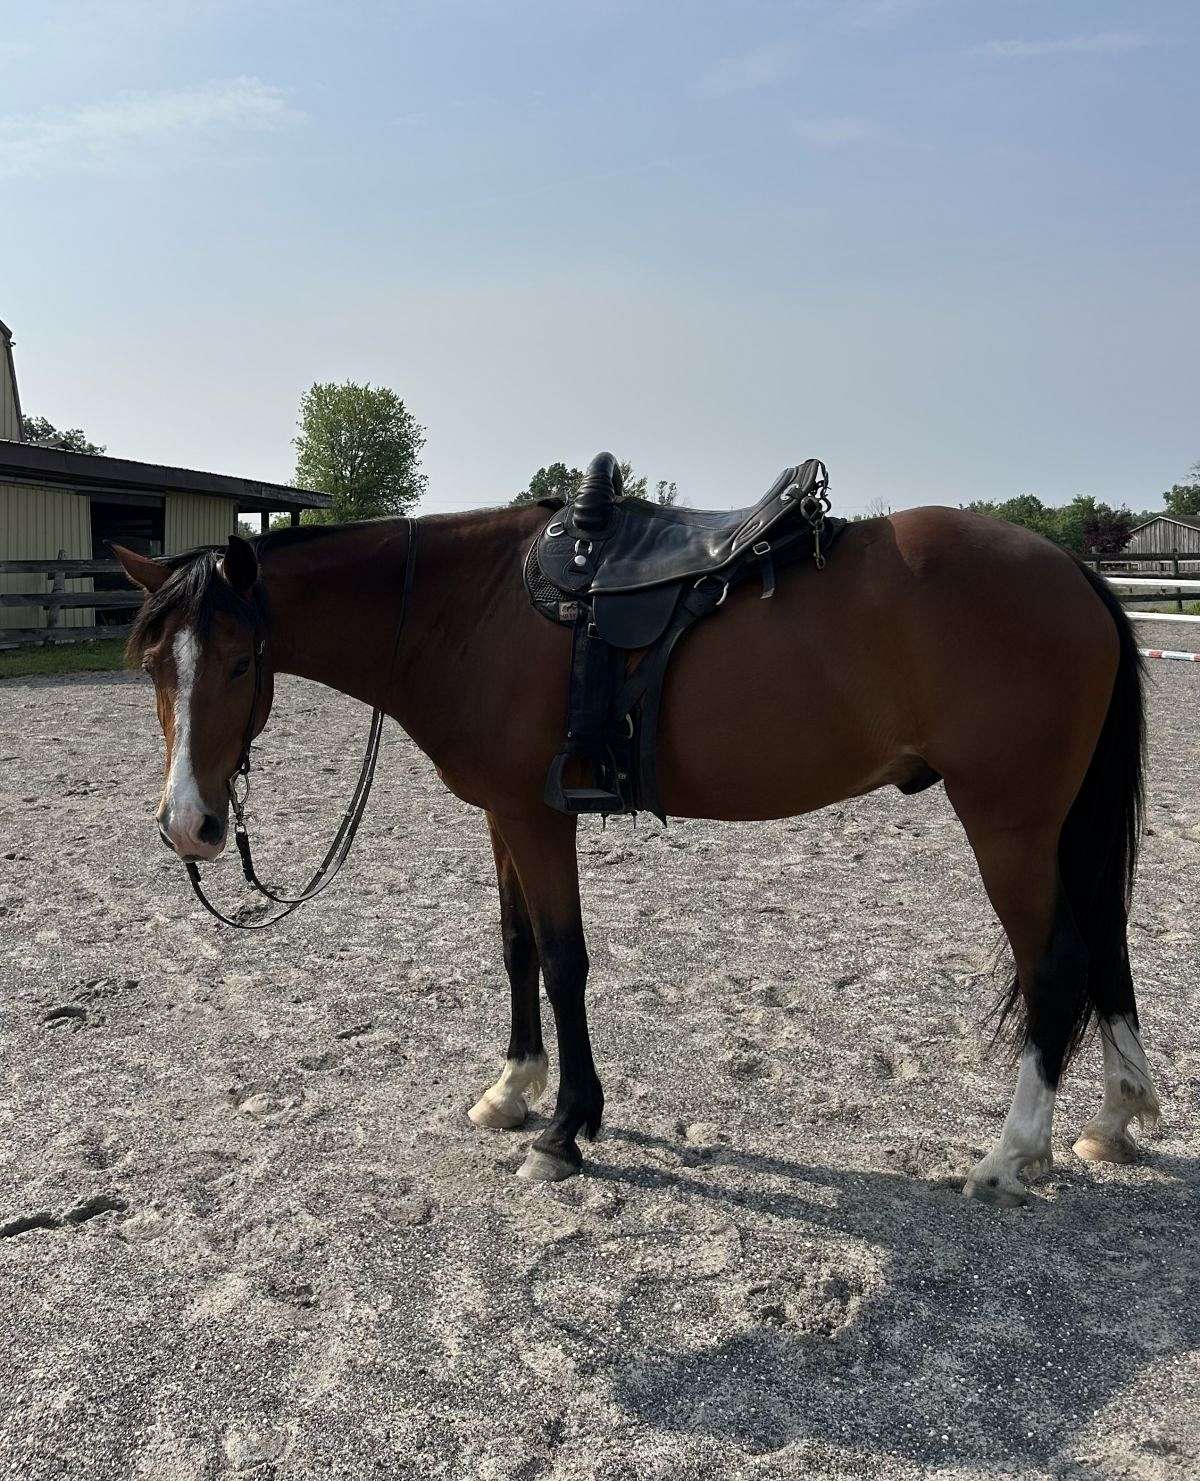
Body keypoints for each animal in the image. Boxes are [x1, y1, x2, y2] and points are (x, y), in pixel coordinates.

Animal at [113, 498, 1160, 1201]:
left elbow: (564, 959)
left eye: (240, 662)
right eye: (154, 663)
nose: (188, 825)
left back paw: (1011, 1153)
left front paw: (566, 1126)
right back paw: (1113, 1118)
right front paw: (513, 1088)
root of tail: (1070, 570)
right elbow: (516, 949)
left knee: (1056, 964)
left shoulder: (540, 818)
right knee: (1106, 948)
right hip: (1060, 826)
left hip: (1009, 825)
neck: (472, 609)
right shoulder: (503, 814)